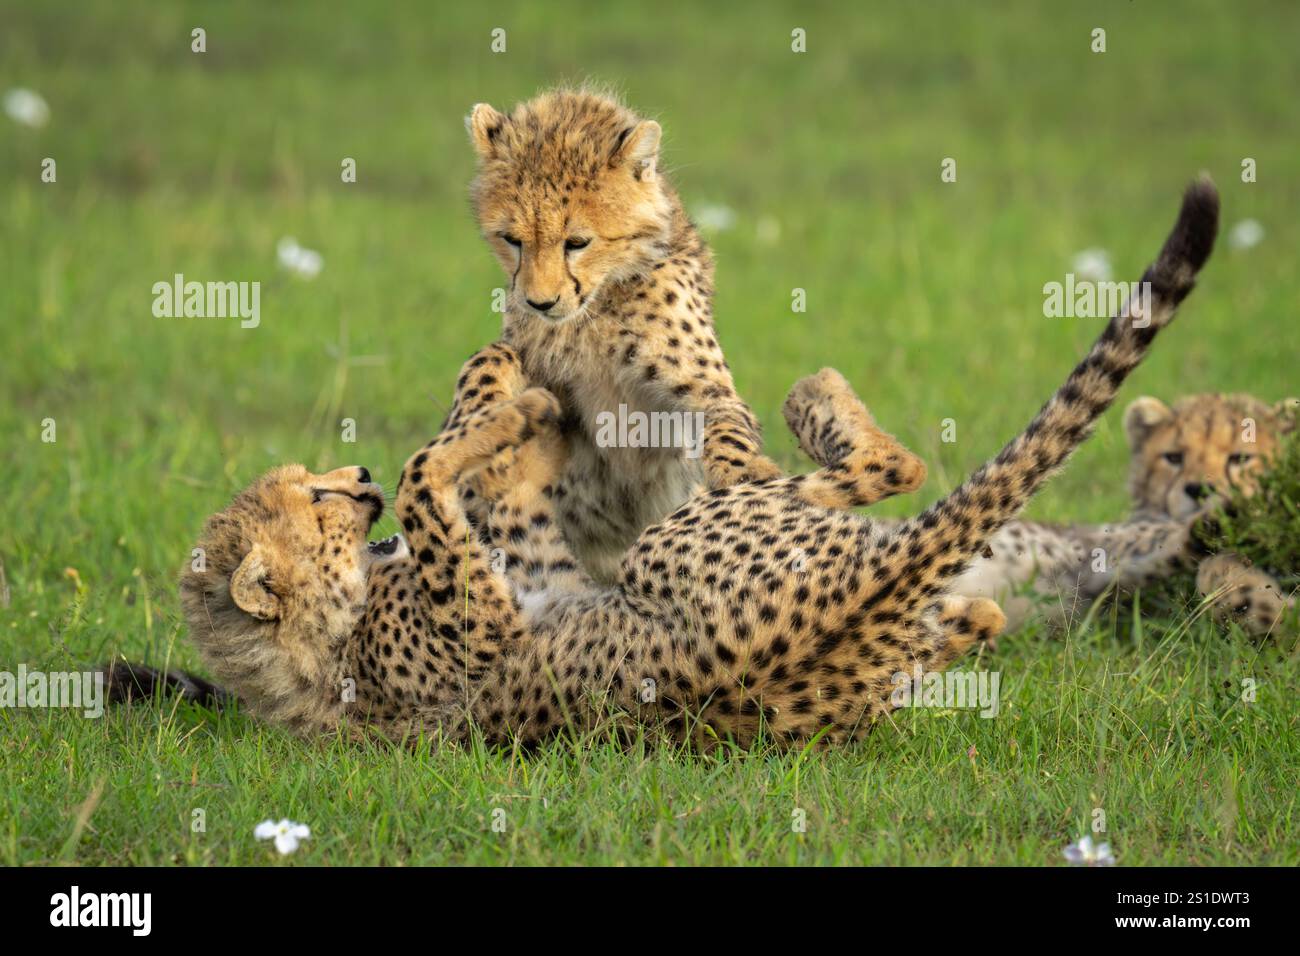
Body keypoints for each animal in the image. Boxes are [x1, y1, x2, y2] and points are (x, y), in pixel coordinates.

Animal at [162, 179, 1218, 747]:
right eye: (316, 498)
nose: (358, 482)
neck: (321, 644)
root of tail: (862, 604)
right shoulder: (486, 616)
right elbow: (437, 467)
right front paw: (522, 405)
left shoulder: (523, 558)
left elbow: (468, 457)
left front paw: (508, 385)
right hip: (684, 535)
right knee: (879, 477)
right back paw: (820, 397)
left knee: (953, 577)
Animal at [461, 87, 783, 584]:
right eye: (512, 239)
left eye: (577, 242)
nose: (540, 302)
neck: (595, 309)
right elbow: (488, 356)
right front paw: (484, 415)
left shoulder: (700, 390)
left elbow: (725, 423)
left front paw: (743, 475)